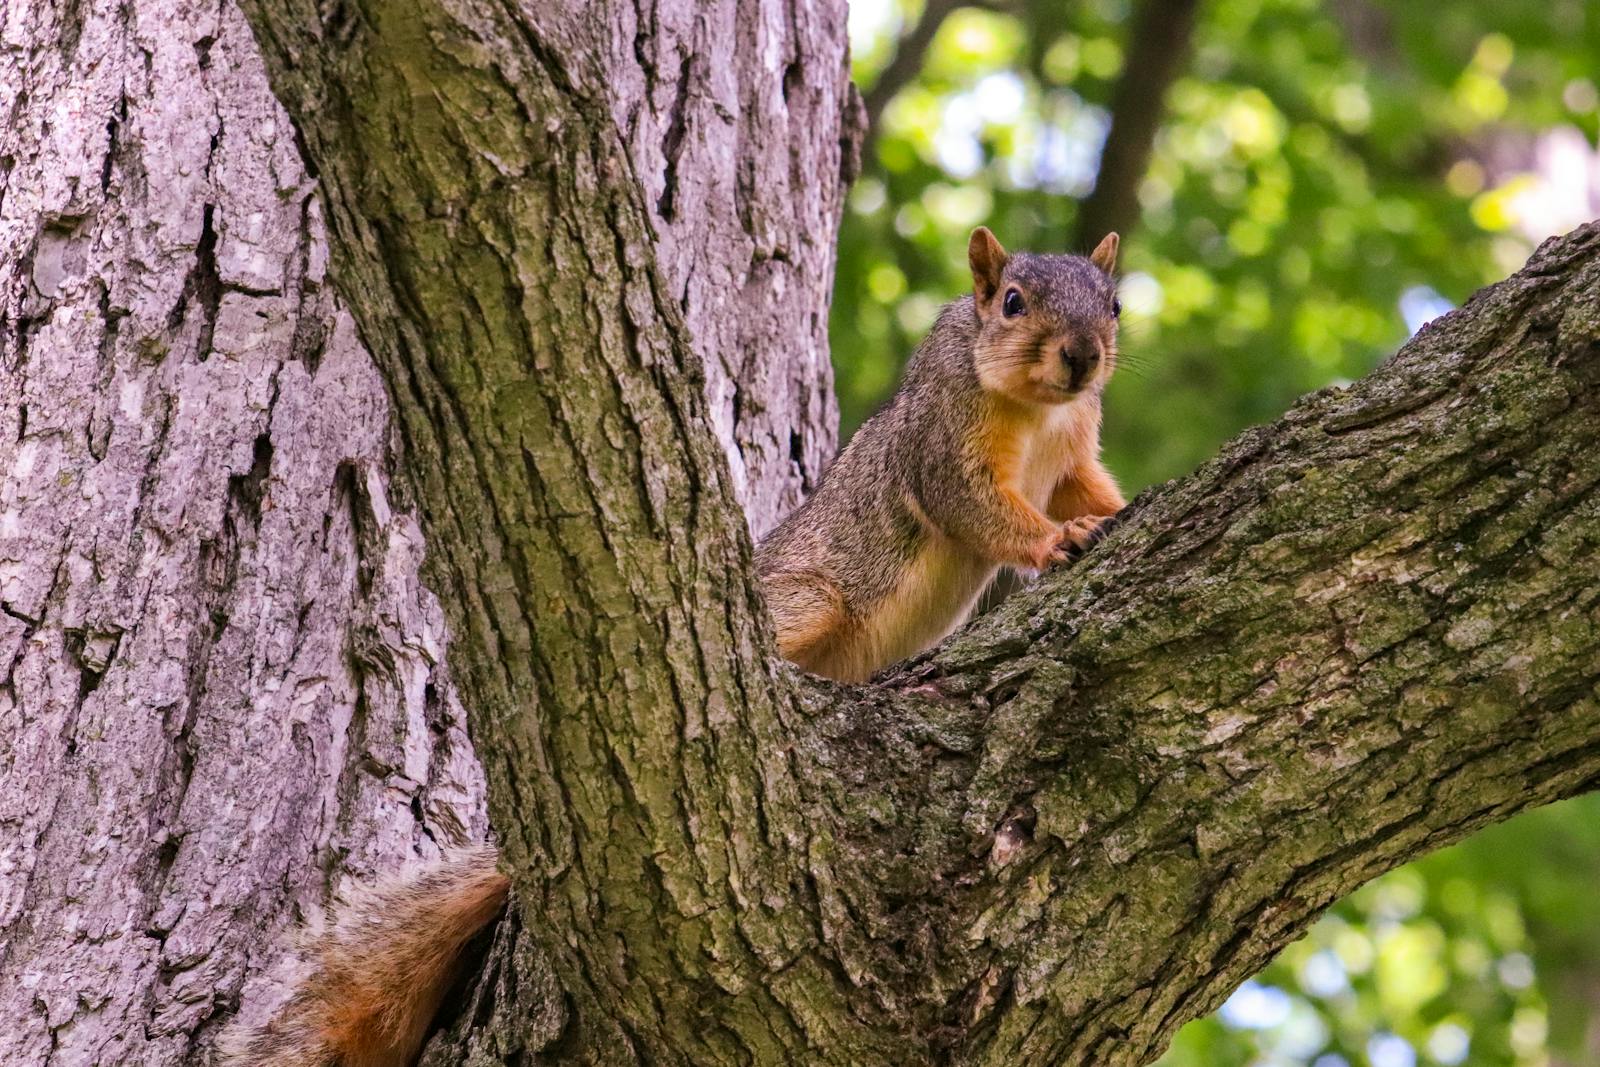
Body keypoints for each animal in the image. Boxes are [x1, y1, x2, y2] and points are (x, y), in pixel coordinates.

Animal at [757, 227, 1127, 682]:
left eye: (1115, 306)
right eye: (1012, 302)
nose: (1082, 354)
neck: (1043, 410)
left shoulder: (1070, 461)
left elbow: (1081, 490)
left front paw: (1111, 511)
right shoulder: (943, 436)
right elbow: (967, 501)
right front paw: (1060, 536)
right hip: (808, 599)